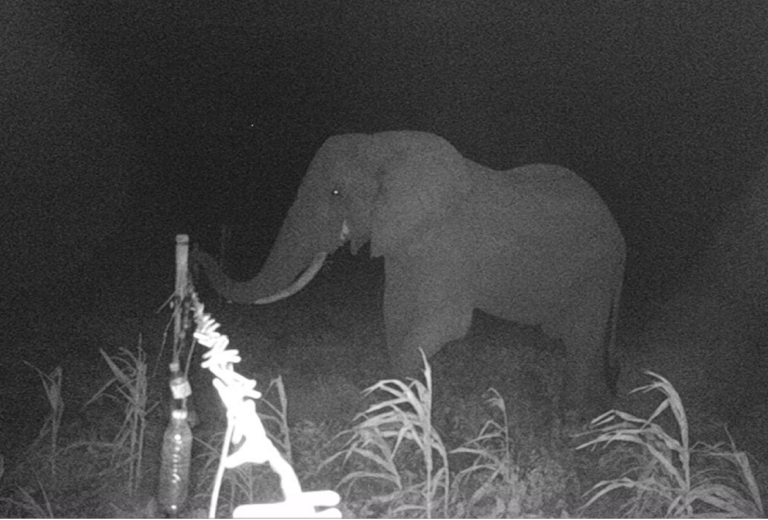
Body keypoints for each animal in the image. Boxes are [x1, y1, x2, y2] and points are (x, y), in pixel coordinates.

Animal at [195, 131, 626, 414]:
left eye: (335, 193)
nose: (198, 251)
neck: (381, 144)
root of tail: (619, 235)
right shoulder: (406, 243)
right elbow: (395, 312)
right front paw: (405, 407)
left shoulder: (446, 242)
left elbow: (444, 323)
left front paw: (390, 418)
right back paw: (603, 415)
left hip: (596, 272)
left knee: (581, 339)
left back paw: (573, 422)